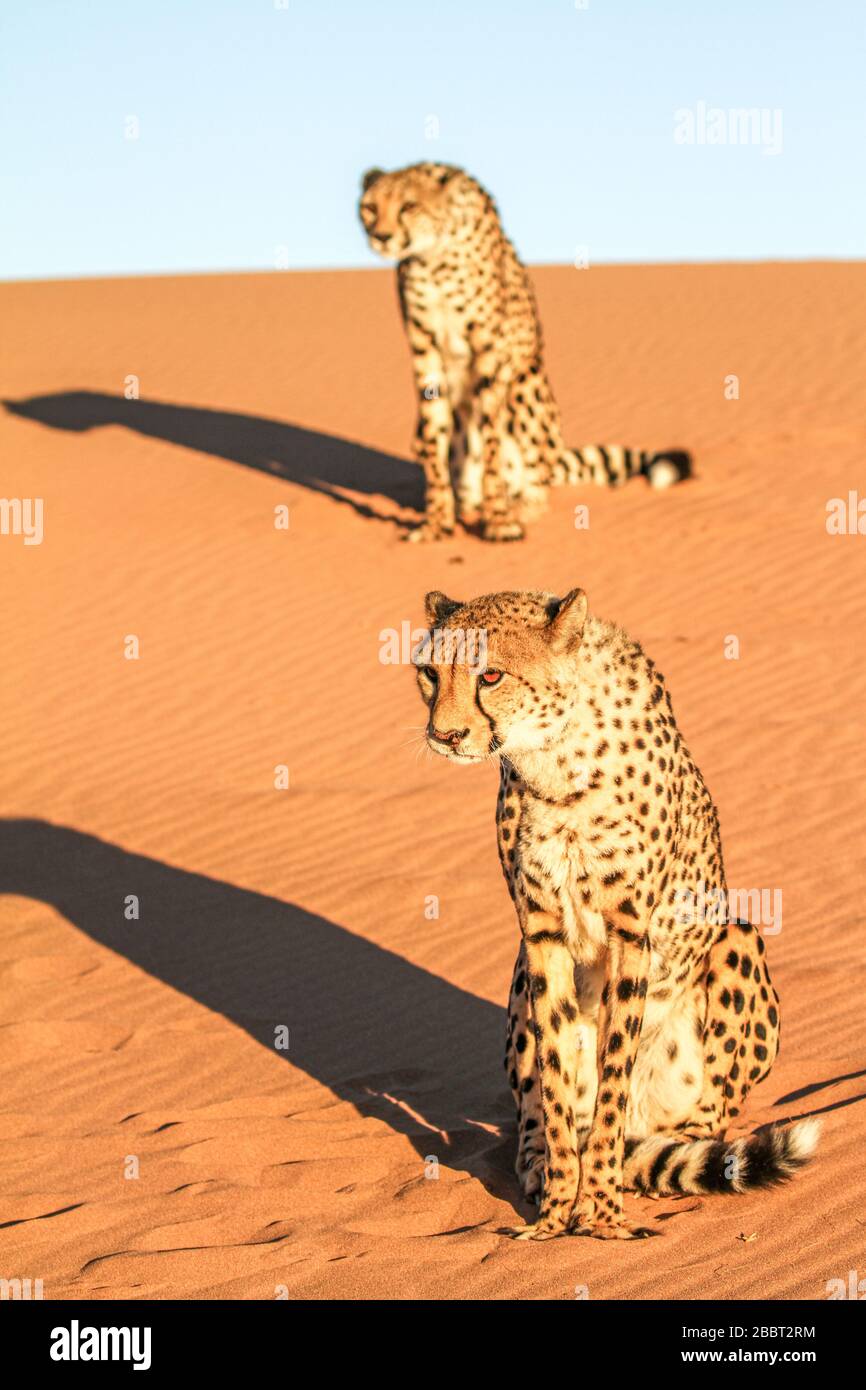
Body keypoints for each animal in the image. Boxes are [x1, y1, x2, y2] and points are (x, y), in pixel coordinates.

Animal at [359, 162, 691, 542]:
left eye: (409, 206)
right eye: (370, 208)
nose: (381, 237)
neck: (432, 256)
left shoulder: (490, 349)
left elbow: (490, 447)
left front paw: (499, 521)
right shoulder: (424, 349)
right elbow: (435, 440)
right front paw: (436, 523)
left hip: (524, 383)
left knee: (536, 483)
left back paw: (519, 506)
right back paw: (466, 506)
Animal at [413, 586, 819, 1239]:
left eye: (491, 675)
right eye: (429, 674)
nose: (444, 736)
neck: (553, 757)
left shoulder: (632, 932)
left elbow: (612, 1074)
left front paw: (602, 1211)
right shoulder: (541, 933)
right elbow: (556, 1075)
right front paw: (555, 1214)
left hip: (734, 934)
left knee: (700, 1119)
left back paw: (675, 1154)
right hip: (519, 972)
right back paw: (541, 1169)